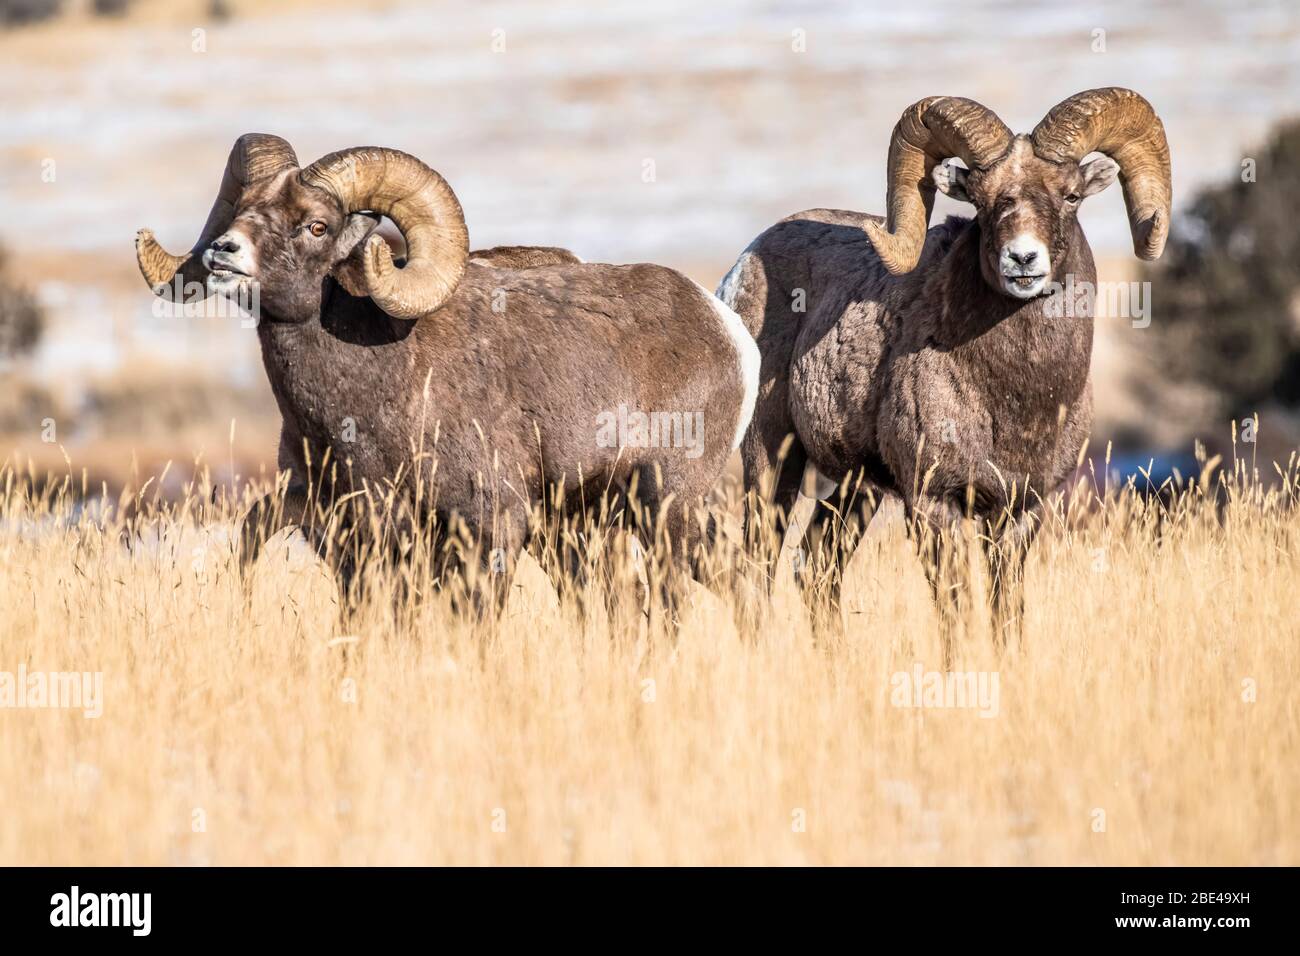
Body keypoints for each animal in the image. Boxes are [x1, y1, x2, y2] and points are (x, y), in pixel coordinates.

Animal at [135, 134, 760, 603]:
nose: (223, 252)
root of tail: (725, 327)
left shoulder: (488, 528)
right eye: (241, 210)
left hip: (665, 507)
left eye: (315, 226)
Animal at [717, 88, 1172, 650]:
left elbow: (1006, 612)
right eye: (981, 199)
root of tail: (740, 268)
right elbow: (956, 611)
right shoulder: (934, 504)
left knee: (818, 567)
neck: (1015, 399)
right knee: (759, 567)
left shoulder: (1022, 511)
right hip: (771, 459)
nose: (1023, 260)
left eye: (1070, 197)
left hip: (856, 488)